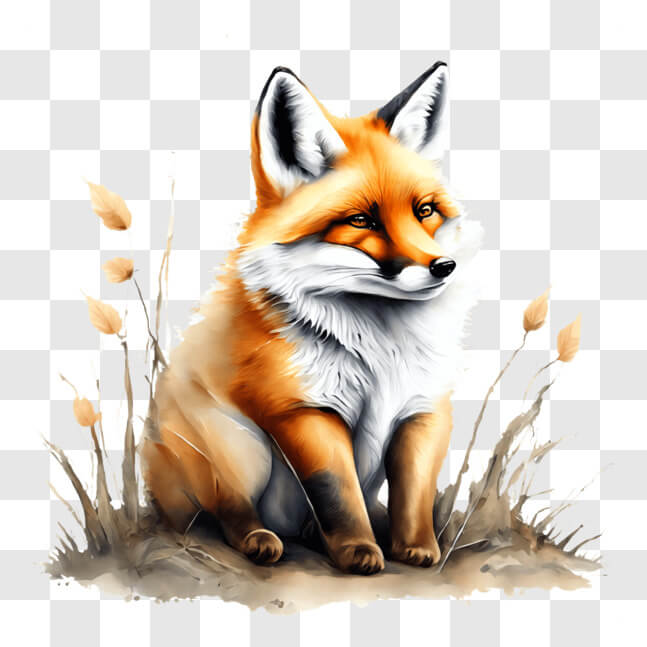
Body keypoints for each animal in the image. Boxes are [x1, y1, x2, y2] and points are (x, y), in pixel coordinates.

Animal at [140, 62, 483, 575]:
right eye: (362, 221)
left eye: (424, 211)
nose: (444, 267)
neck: (383, 352)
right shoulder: (303, 409)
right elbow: (338, 492)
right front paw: (358, 549)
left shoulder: (424, 409)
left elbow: (415, 494)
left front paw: (417, 547)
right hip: (242, 448)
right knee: (229, 512)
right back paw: (260, 539)